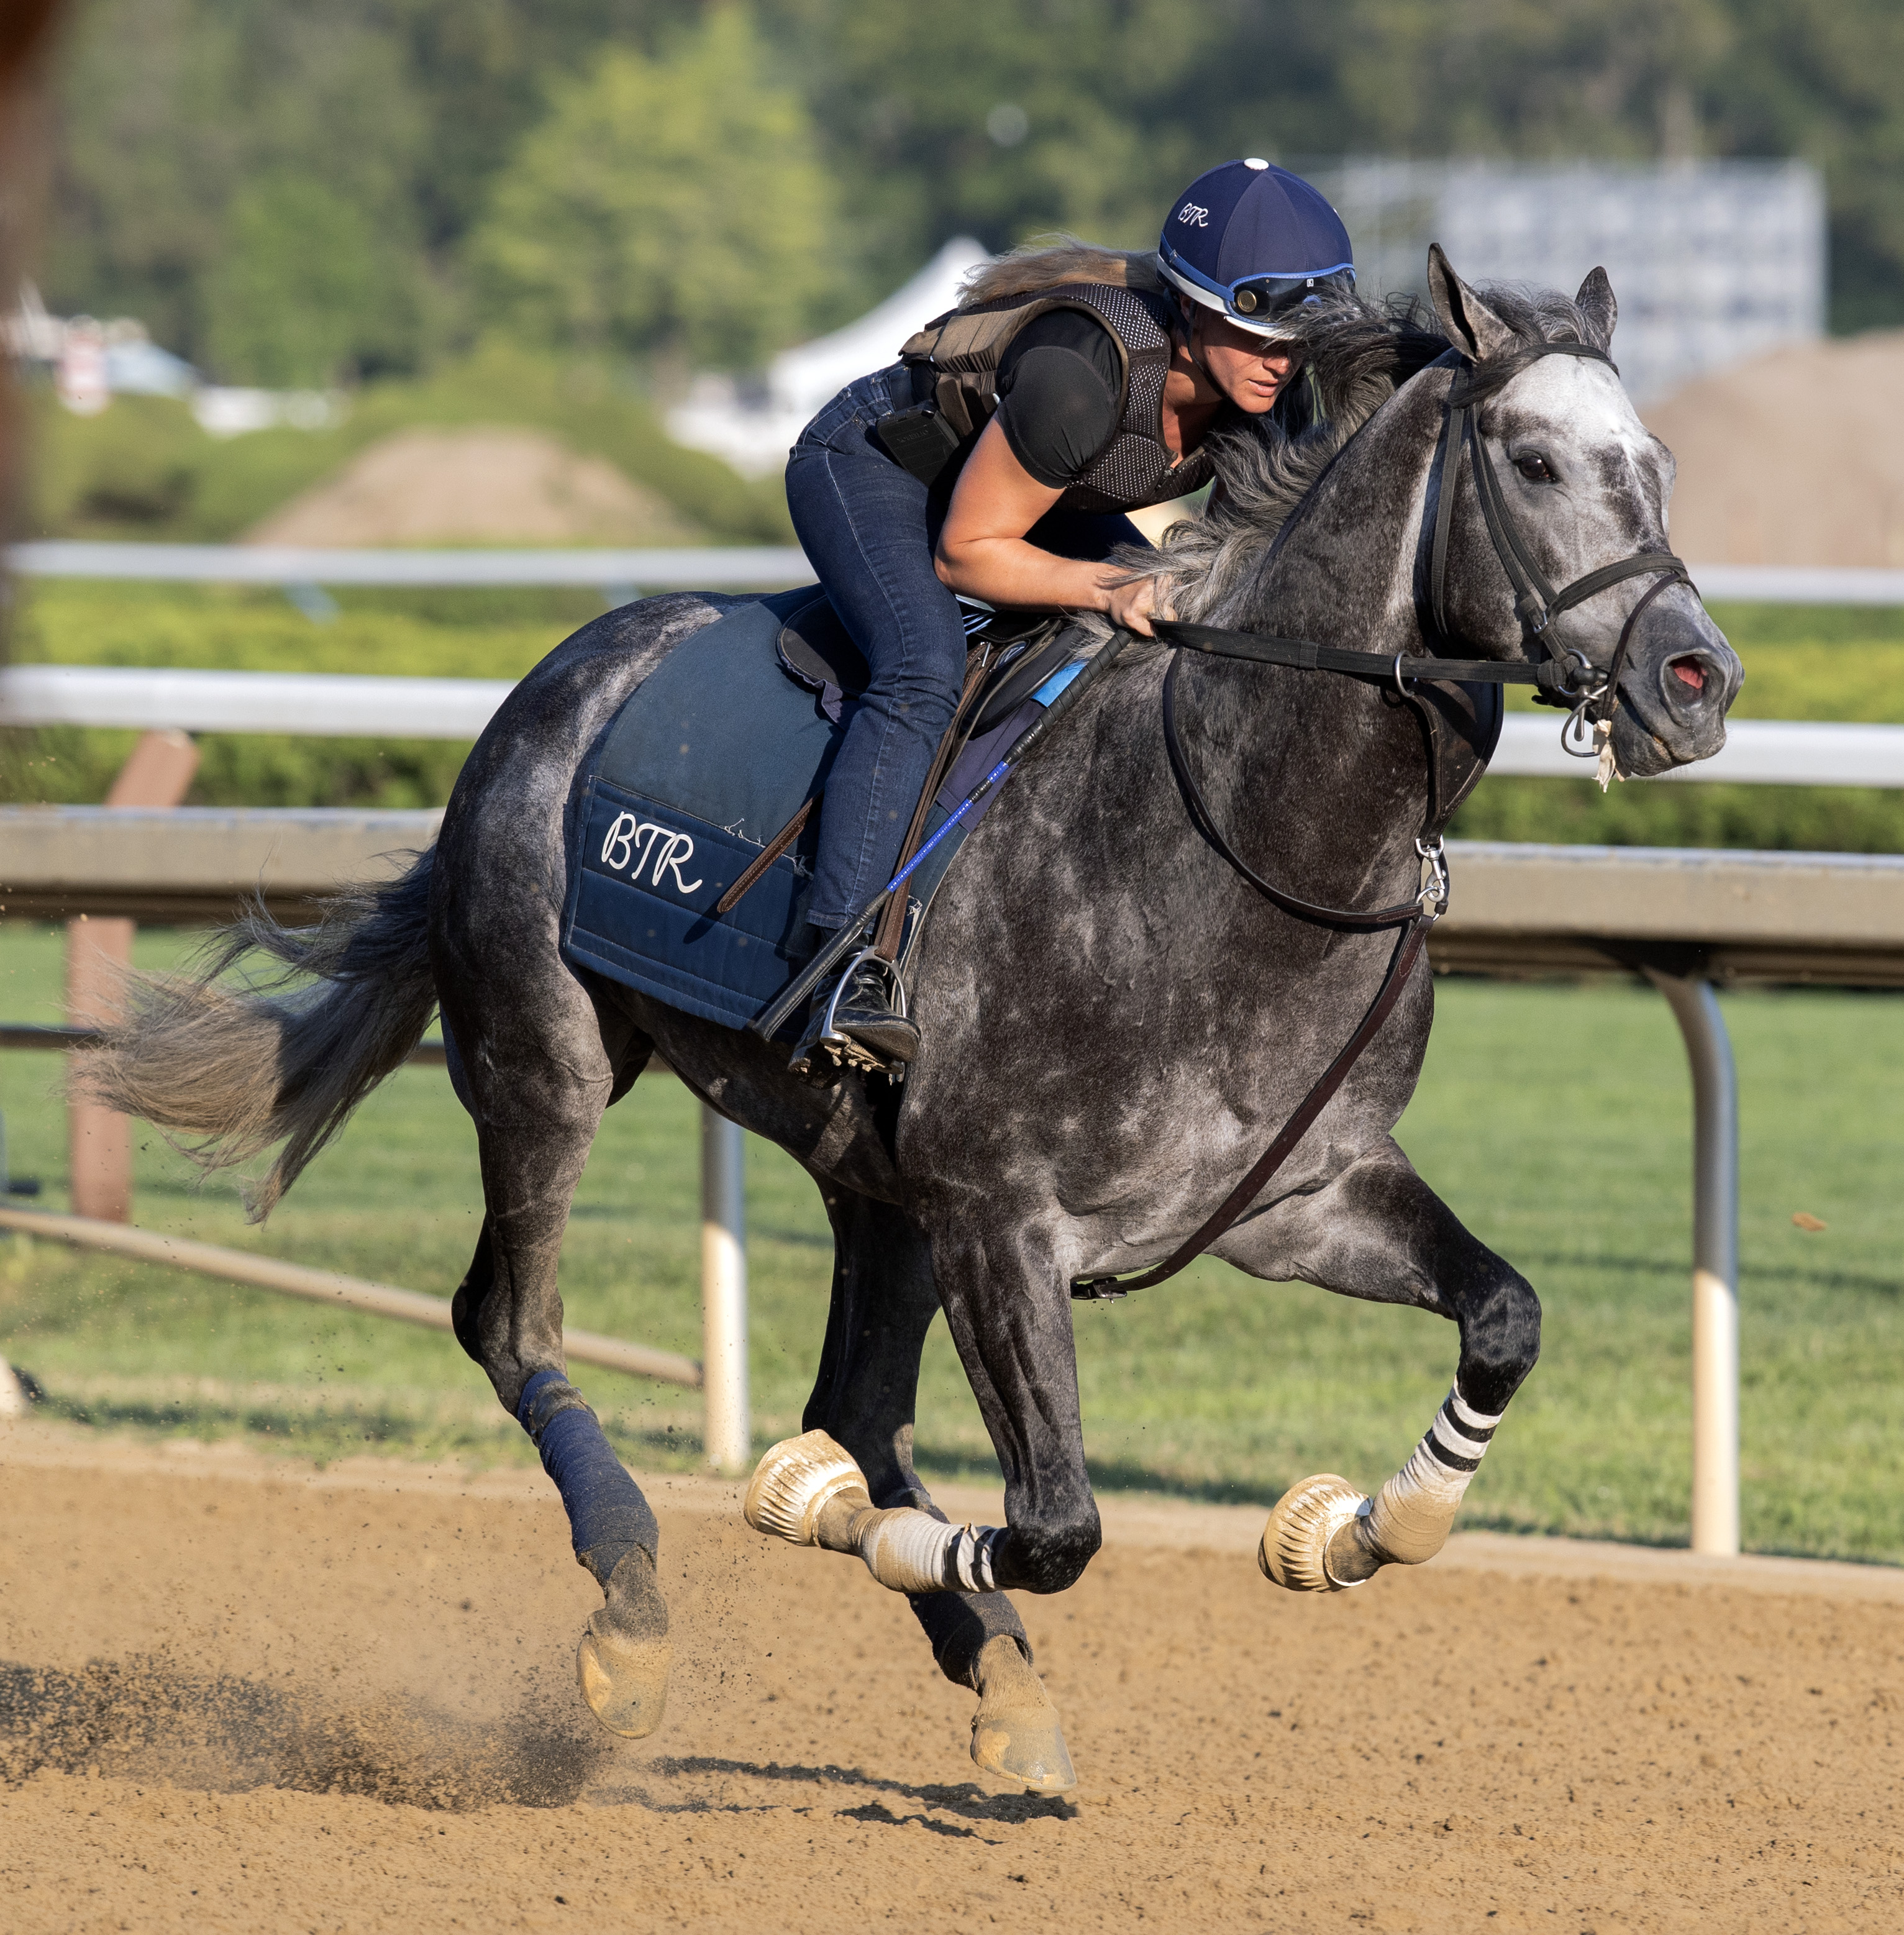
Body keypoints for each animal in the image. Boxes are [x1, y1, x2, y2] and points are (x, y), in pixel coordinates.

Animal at [80, 252, 1741, 1795]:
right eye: (1531, 463)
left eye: (1653, 462)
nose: (1693, 680)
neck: (1238, 832)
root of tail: (553, 683)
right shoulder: (1000, 1218)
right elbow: (1057, 1525)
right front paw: (808, 1511)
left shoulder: (1295, 1195)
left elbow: (1502, 1319)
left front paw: (1347, 1528)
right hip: (542, 1061)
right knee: (514, 1325)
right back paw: (636, 1615)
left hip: (866, 1178)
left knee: (855, 1409)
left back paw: (988, 1672)